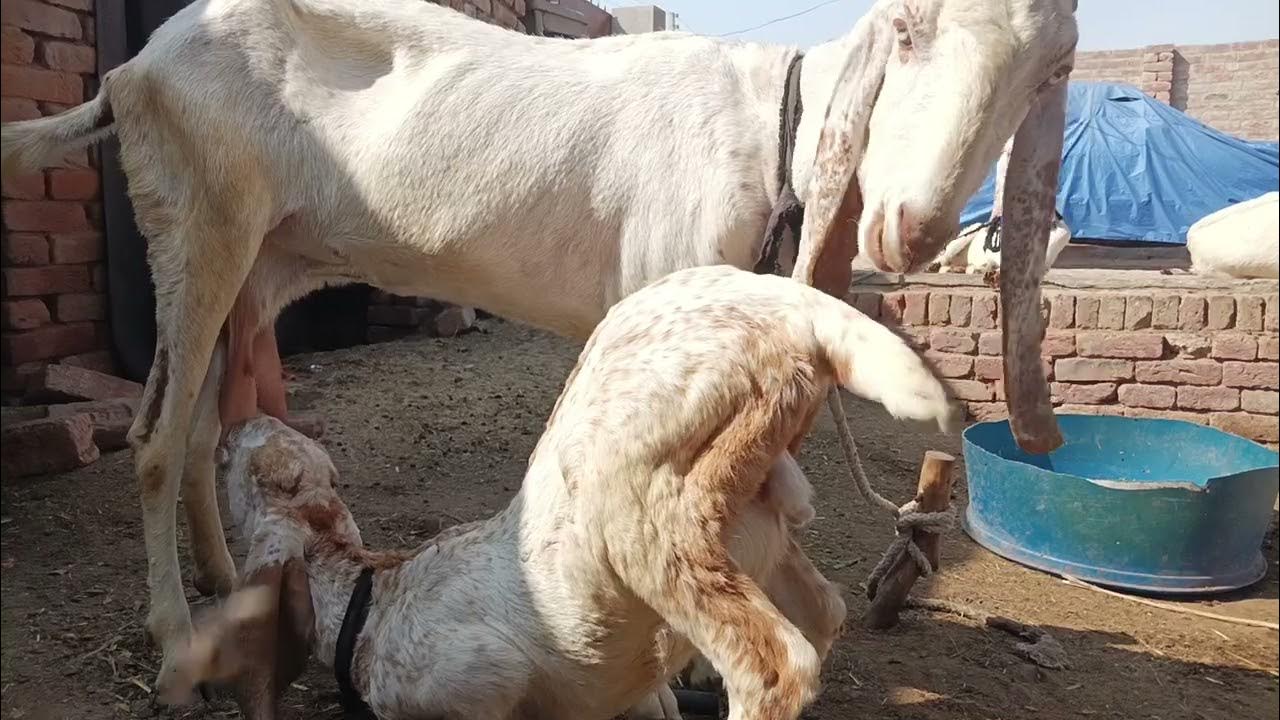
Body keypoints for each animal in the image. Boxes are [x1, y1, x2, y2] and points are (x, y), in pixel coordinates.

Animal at [159, 265, 955, 720]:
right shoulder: (641, 696)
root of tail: (795, 306)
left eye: (257, 475)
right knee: (824, 612)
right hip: (763, 522)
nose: (238, 423)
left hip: (644, 517)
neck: (369, 598)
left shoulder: (478, 687)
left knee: (775, 667)